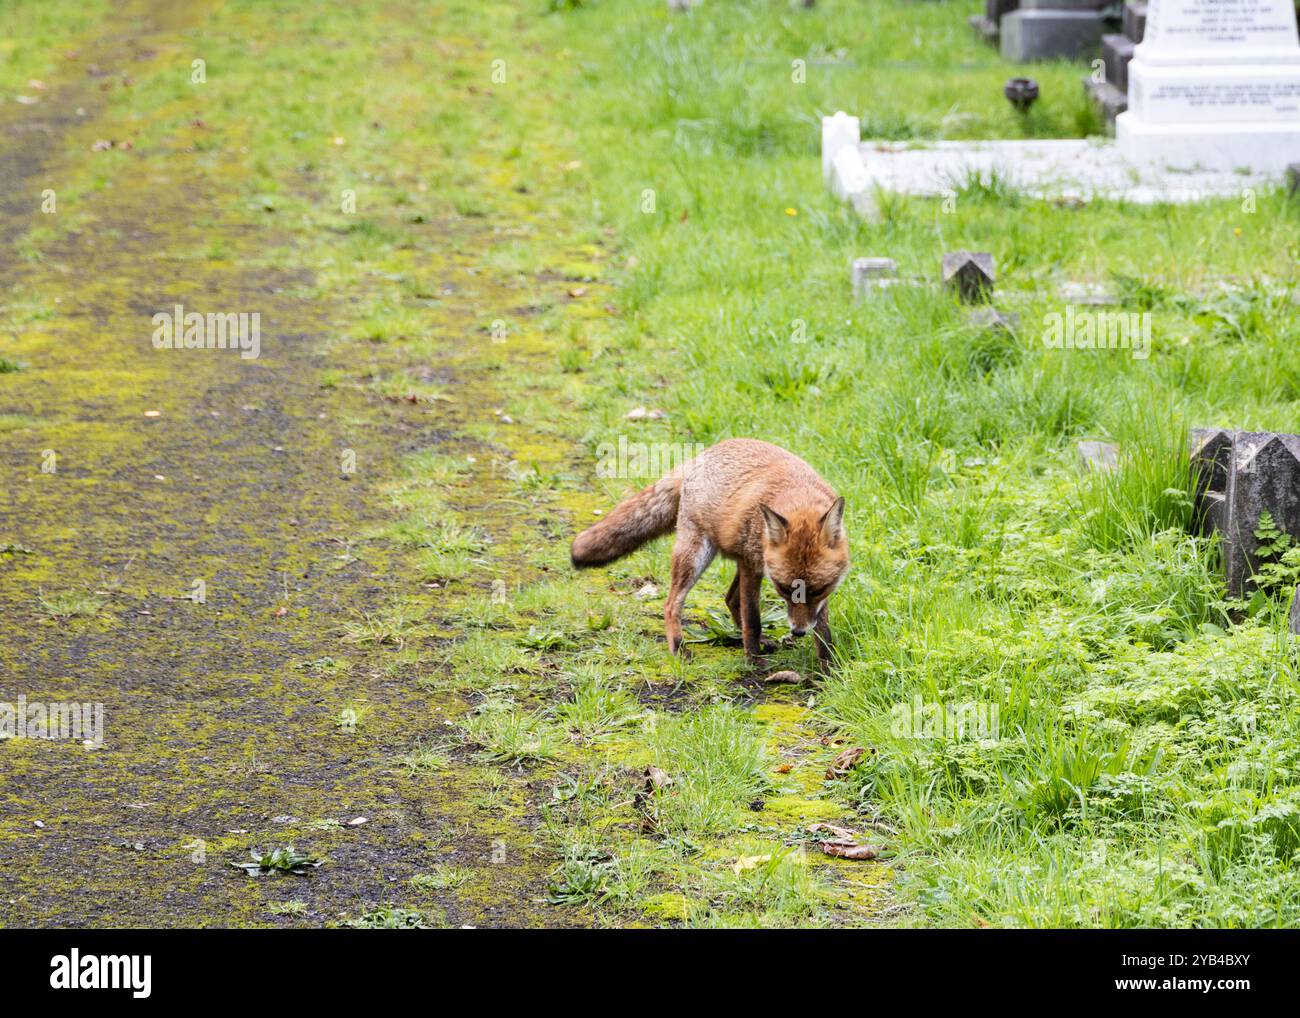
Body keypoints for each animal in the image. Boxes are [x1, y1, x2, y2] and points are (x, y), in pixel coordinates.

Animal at [570, 438, 849, 672]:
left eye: (819, 589)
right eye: (782, 589)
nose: (798, 632)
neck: (797, 496)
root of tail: (699, 456)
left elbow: (823, 630)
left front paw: (828, 668)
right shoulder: (751, 565)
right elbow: (753, 618)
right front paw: (753, 661)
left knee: (730, 599)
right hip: (696, 555)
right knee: (672, 603)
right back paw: (678, 647)